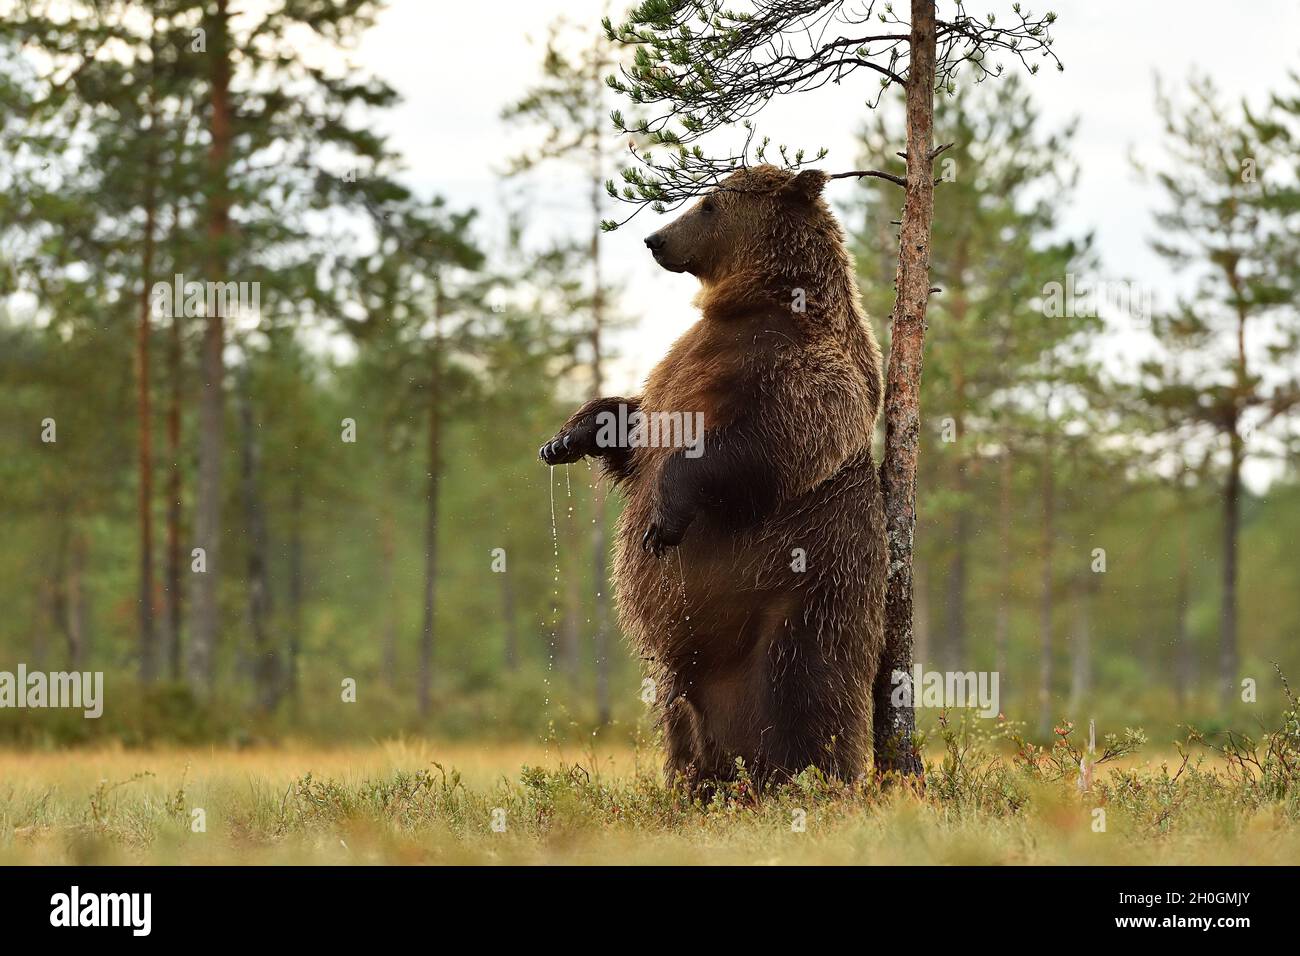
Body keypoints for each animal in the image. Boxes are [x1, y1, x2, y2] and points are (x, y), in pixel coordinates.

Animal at [540, 164, 887, 788]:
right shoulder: (683, 363)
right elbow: (634, 424)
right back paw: (697, 782)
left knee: (807, 688)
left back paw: (811, 777)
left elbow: (769, 440)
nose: (654, 239)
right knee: (679, 721)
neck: (751, 304)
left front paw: (663, 520)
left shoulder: (802, 369)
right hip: (684, 679)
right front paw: (568, 436)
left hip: (805, 596)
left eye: (707, 204)